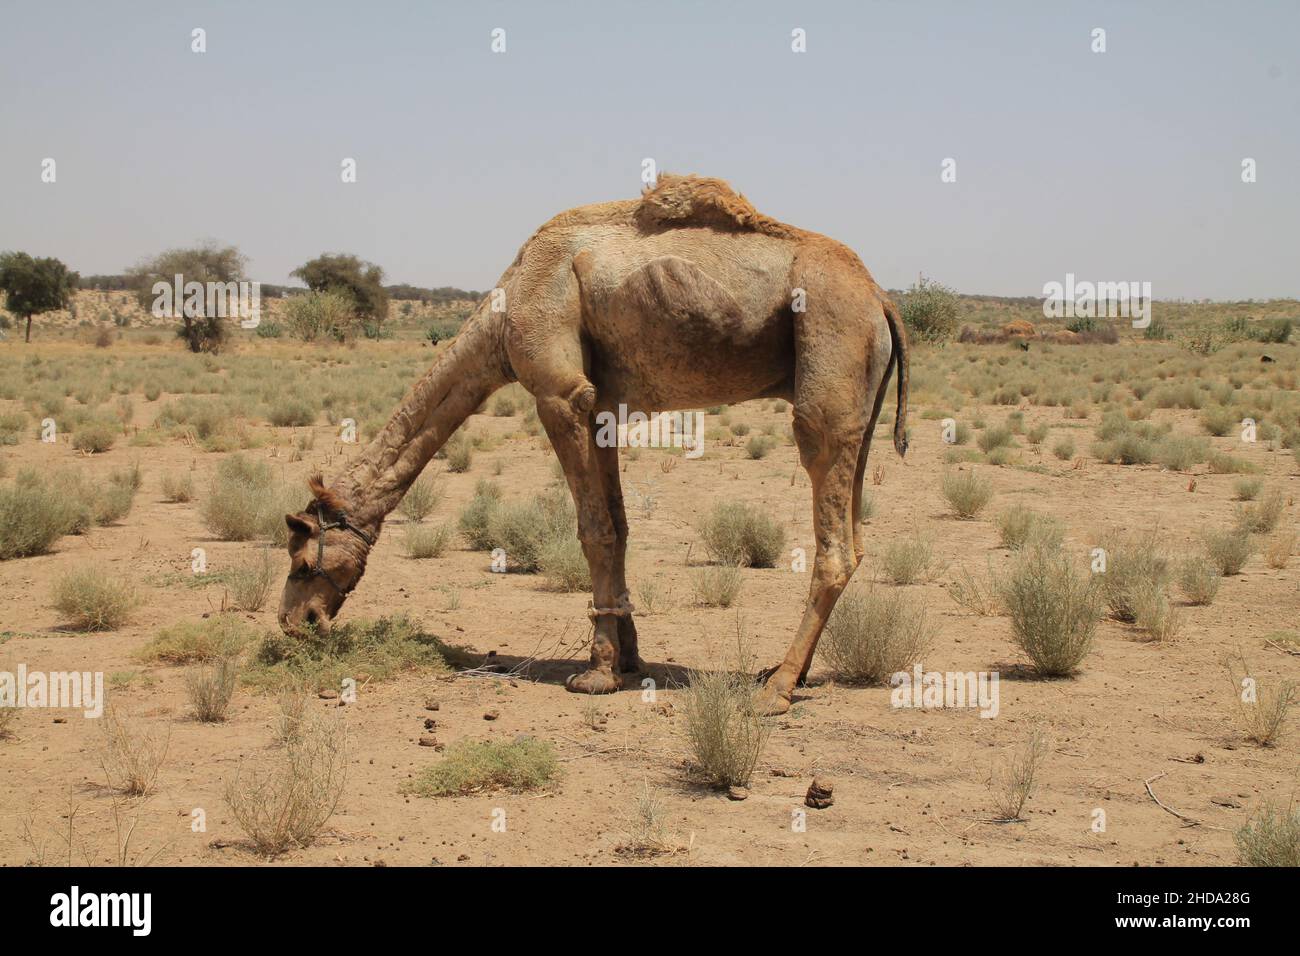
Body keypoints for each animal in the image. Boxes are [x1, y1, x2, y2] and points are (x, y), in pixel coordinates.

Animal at [278, 174, 909, 715]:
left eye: (302, 560)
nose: (295, 622)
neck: (507, 305)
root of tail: (881, 298)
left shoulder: (560, 394)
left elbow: (594, 531)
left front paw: (596, 673)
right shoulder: (601, 405)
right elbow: (620, 525)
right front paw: (627, 656)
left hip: (829, 359)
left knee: (831, 538)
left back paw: (775, 688)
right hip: (861, 406)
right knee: (853, 535)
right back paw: (785, 673)